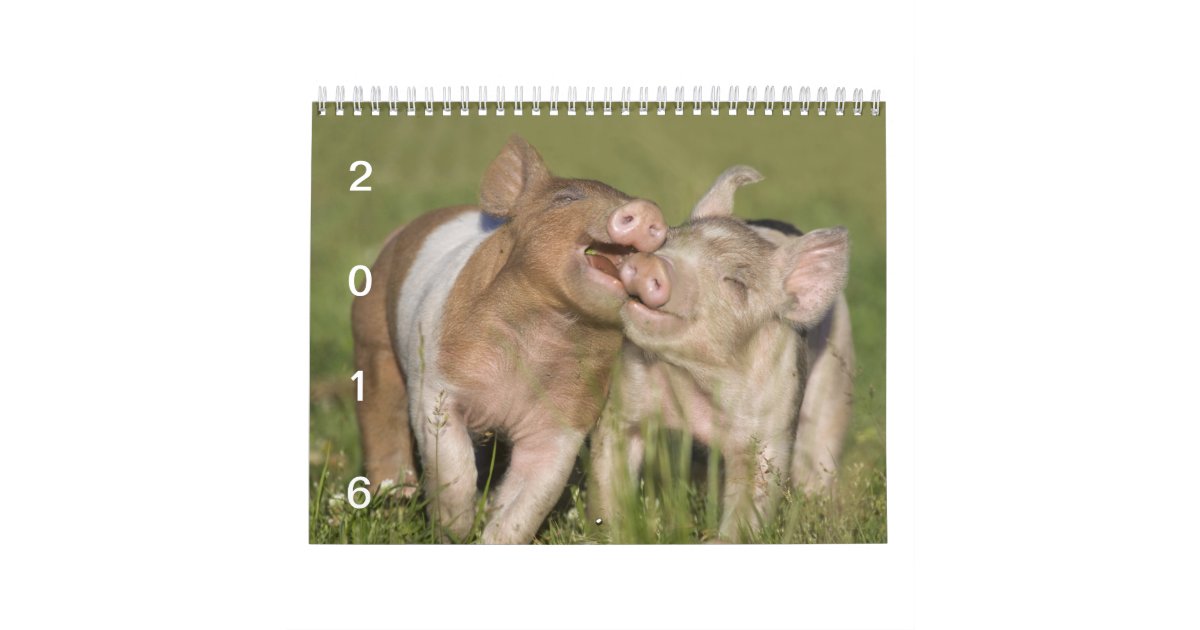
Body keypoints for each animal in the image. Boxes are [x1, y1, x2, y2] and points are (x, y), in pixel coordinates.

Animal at [351, 135, 666, 543]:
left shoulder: (565, 421)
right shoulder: (434, 384)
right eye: (565, 198)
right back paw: (394, 499)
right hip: (370, 335)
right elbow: (452, 467)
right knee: (380, 412)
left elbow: (530, 498)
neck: (543, 335)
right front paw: (456, 531)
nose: (646, 209)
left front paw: (488, 537)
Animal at [588, 166, 853, 541]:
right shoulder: (624, 400)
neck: (697, 379)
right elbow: (609, 469)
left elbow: (753, 497)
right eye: (668, 239)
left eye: (737, 283)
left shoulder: (771, 425)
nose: (654, 264)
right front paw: (614, 534)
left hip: (836, 374)